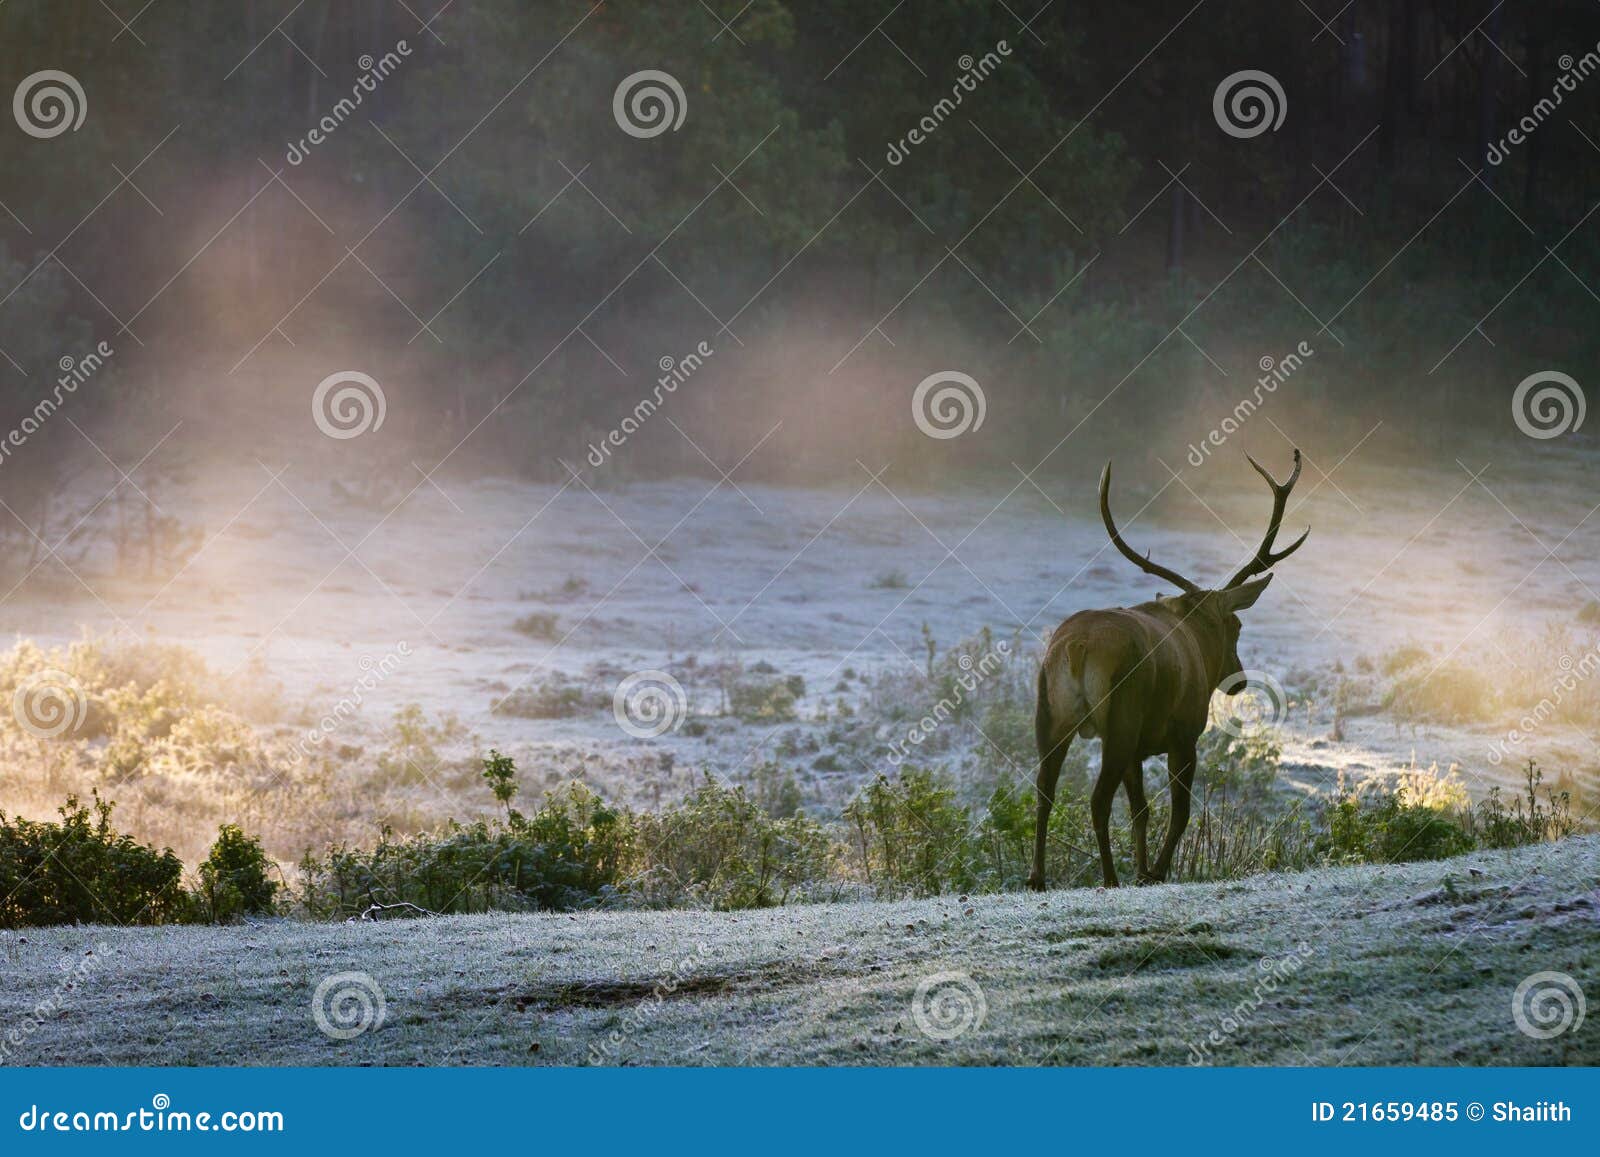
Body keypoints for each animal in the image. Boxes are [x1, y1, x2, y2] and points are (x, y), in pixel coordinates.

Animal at [1027, 450, 1308, 891]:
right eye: (1236, 626)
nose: (1238, 679)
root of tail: (1078, 646)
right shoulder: (1183, 735)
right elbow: (1180, 813)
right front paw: (1154, 872)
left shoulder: (1139, 751)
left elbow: (1141, 810)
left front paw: (1143, 869)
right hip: (1120, 718)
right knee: (1097, 799)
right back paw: (1110, 878)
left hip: (1049, 712)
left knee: (1044, 789)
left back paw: (1037, 877)